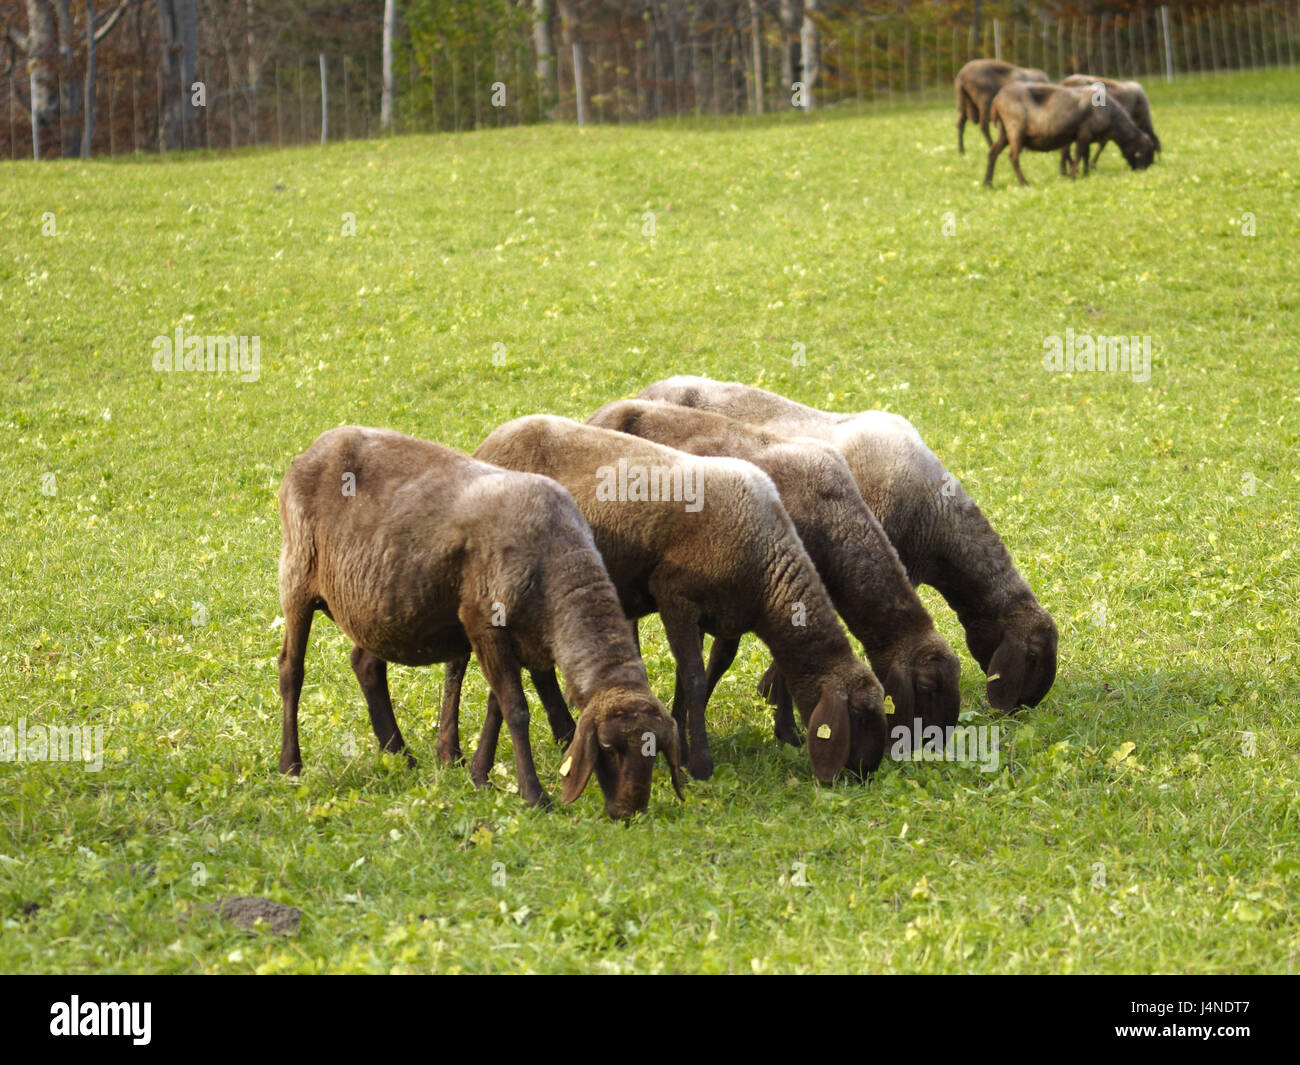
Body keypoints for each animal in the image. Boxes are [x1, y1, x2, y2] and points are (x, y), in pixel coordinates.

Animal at [276, 426, 683, 819]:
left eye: (656, 750)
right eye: (608, 747)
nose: (628, 813)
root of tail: (315, 448)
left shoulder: (518, 638)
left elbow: (496, 709)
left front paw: (480, 776)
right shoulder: (485, 625)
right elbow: (515, 710)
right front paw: (535, 796)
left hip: (375, 606)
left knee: (365, 664)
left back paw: (399, 755)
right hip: (296, 573)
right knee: (291, 670)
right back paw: (290, 766)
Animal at [447, 414, 888, 785]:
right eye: (858, 717)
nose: (865, 777)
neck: (766, 557)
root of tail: (491, 440)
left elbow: (684, 677)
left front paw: (683, 745)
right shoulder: (675, 595)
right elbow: (693, 677)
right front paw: (701, 764)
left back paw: (564, 734)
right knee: (459, 662)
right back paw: (450, 752)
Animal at [985, 81, 1155, 187]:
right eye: (1145, 150)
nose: (1143, 170)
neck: (1113, 120)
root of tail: (996, 99)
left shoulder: (1081, 135)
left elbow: (1083, 154)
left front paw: (1084, 174)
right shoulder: (1083, 133)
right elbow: (1079, 155)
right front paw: (1073, 176)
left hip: (1003, 131)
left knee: (993, 153)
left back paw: (988, 183)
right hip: (1015, 129)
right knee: (1013, 157)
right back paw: (1023, 182)